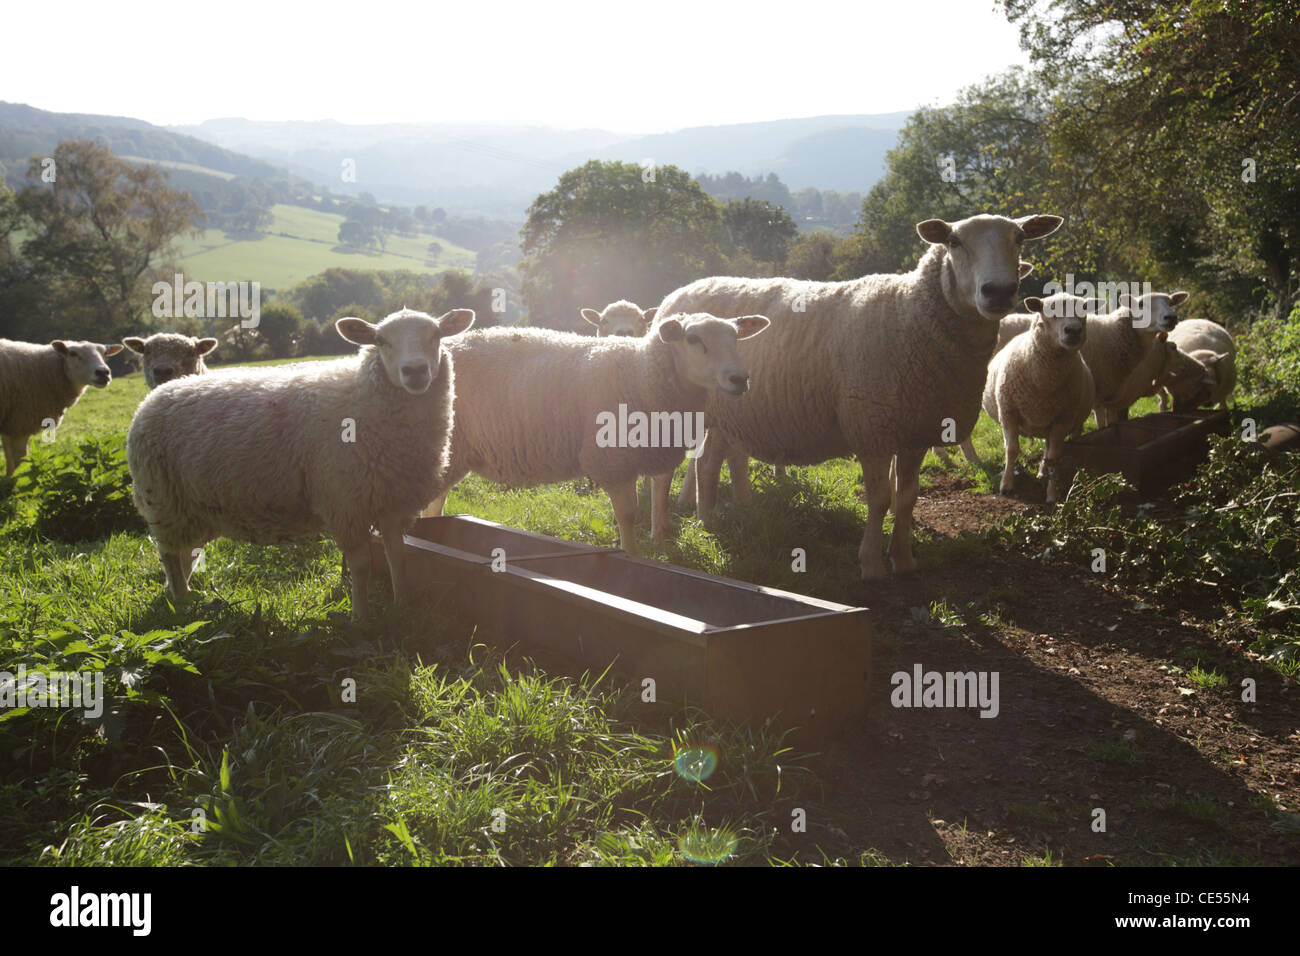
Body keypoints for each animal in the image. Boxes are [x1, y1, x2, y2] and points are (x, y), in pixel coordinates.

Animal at [0, 339, 124, 476]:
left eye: (105, 353)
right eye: (73, 353)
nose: (103, 372)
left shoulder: (9, 422)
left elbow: (9, 459)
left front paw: (9, 478)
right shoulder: (20, 423)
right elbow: (19, 461)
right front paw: (17, 478)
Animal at [126, 307, 475, 620]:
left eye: (436, 336)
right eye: (381, 341)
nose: (415, 371)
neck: (362, 395)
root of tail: (152, 399)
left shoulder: (393, 502)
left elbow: (397, 556)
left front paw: (402, 605)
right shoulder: (345, 505)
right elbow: (361, 565)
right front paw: (360, 619)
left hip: (194, 509)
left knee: (185, 554)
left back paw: (185, 595)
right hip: (164, 501)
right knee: (169, 556)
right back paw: (182, 604)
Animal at [423, 313, 769, 555]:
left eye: (736, 337)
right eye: (694, 338)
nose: (740, 378)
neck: (641, 372)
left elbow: (647, 503)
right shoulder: (613, 461)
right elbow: (627, 515)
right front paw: (631, 555)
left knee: (436, 501)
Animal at [653, 212, 1063, 582]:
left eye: (1019, 238)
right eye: (954, 241)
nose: (999, 292)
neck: (911, 314)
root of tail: (679, 294)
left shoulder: (915, 431)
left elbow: (907, 497)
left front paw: (904, 560)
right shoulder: (872, 428)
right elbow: (879, 499)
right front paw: (871, 565)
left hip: (727, 415)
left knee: (710, 462)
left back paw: (721, 517)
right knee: (701, 466)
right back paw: (702, 525)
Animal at [982, 294, 1096, 503]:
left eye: (1084, 312)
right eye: (1050, 311)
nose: (1074, 330)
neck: (1044, 382)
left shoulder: (1062, 419)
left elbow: (1054, 457)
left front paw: (1052, 495)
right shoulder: (1008, 413)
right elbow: (1012, 450)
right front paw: (1006, 485)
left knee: (1049, 450)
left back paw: (1043, 472)